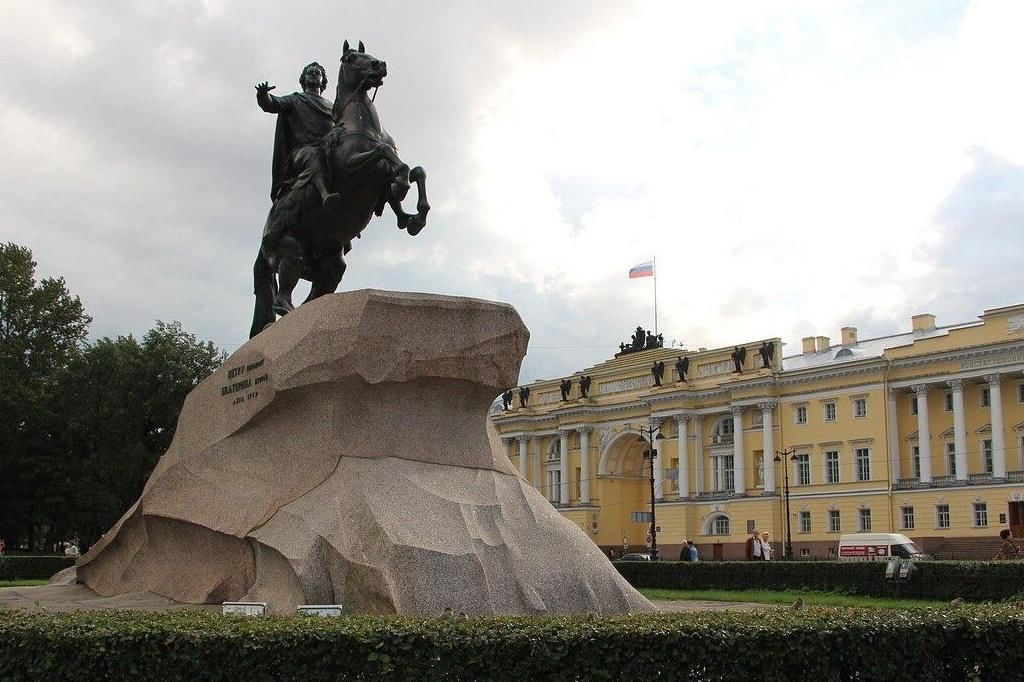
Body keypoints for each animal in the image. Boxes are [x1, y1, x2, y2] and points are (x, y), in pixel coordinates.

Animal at [249, 38, 430, 335]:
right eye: (351, 58)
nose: (380, 65)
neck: (363, 126)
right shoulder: (353, 169)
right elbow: (387, 155)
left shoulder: (382, 180)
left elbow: (415, 171)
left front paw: (415, 217)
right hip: (290, 249)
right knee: (283, 292)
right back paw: (286, 311)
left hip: (331, 265)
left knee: (315, 295)